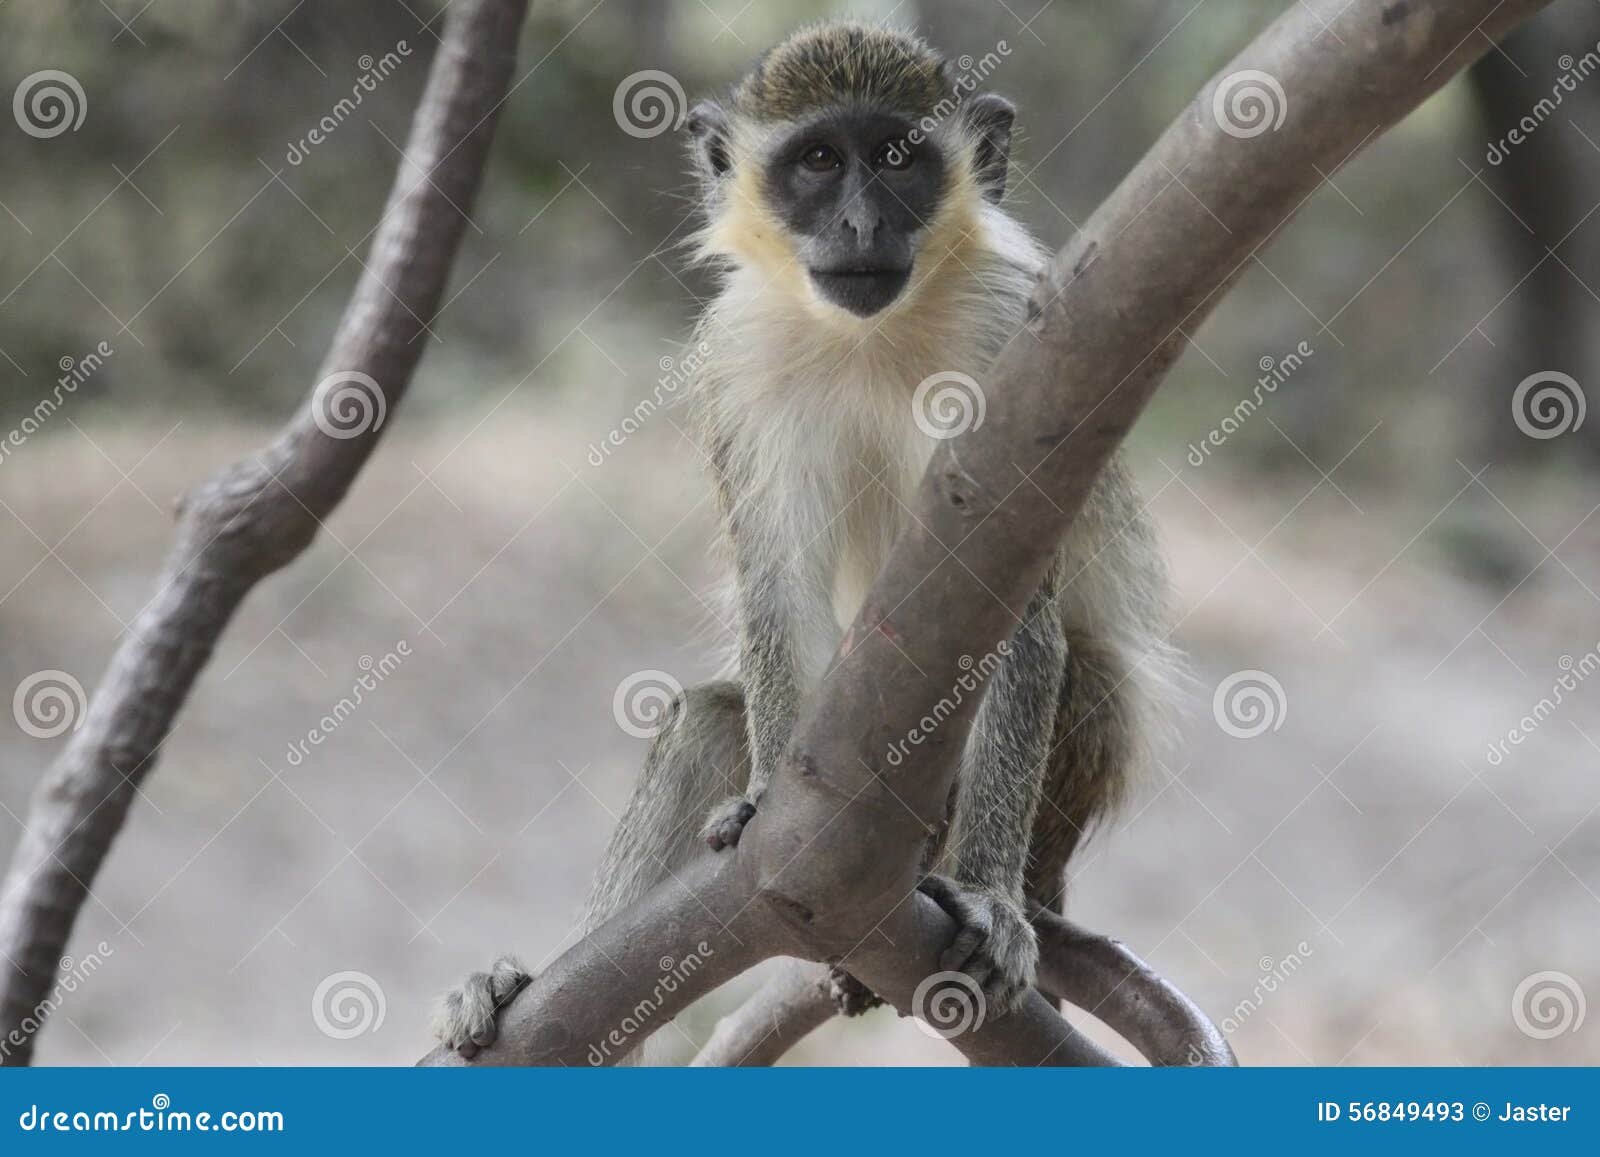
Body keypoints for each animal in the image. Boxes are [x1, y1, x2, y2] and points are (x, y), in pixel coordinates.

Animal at [433, 21, 1178, 1058]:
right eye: (818, 163)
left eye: (899, 158)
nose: (861, 225)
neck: (871, 336)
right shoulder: (740, 359)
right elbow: (777, 585)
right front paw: (759, 801)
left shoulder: (1015, 339)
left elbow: (1021, 614)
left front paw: (988, 894)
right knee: (706, 718)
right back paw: (526, 990)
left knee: (1090, 671)